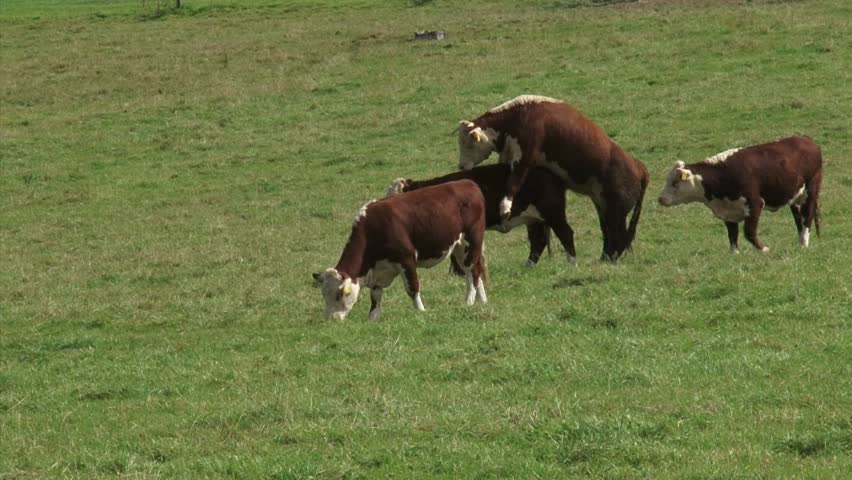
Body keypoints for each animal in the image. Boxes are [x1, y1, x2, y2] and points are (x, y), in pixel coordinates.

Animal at [312, 180, 487, 320]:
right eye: (324, 294)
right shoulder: (377, 271)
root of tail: (468, 183)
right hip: (459, 247)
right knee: (476, 271)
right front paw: (372, 318)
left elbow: (413, 288)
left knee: (472, 272)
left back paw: (469, 301)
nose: (331, 318)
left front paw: (421, 311)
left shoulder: (407, 259)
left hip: (471, 241)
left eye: (339, 294)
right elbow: (375, 296)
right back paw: (482, 301)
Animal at [386, 163, 577, 266]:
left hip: (553, 212)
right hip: (534, 218)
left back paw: (572, 263)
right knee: (539, 241)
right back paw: (529, 265)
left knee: (565, 233)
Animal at [457, 95, 649, 262]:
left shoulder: (526, 156)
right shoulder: (509, 156)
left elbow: (513, 182)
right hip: (602, 205)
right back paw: (605, 258)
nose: (461, 166)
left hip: (616, 209)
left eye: (468, 144)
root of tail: (640, 168)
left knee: (618, 233)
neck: (518, 116)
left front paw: (505, 207)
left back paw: (611, 259)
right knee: (608, 231)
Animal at [657, 135, 823, 253]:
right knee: (799, 219)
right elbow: (732, 234)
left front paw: (764, 249)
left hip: (811, 189)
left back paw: (804, 245)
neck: (722, 175)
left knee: (807, 217)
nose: (660, 198)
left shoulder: (754, 203)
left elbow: (749, 232)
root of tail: (807, 140)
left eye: (675, 183)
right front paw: (734, 253)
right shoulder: (728, 211)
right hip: (795, 197)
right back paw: (800, 242)